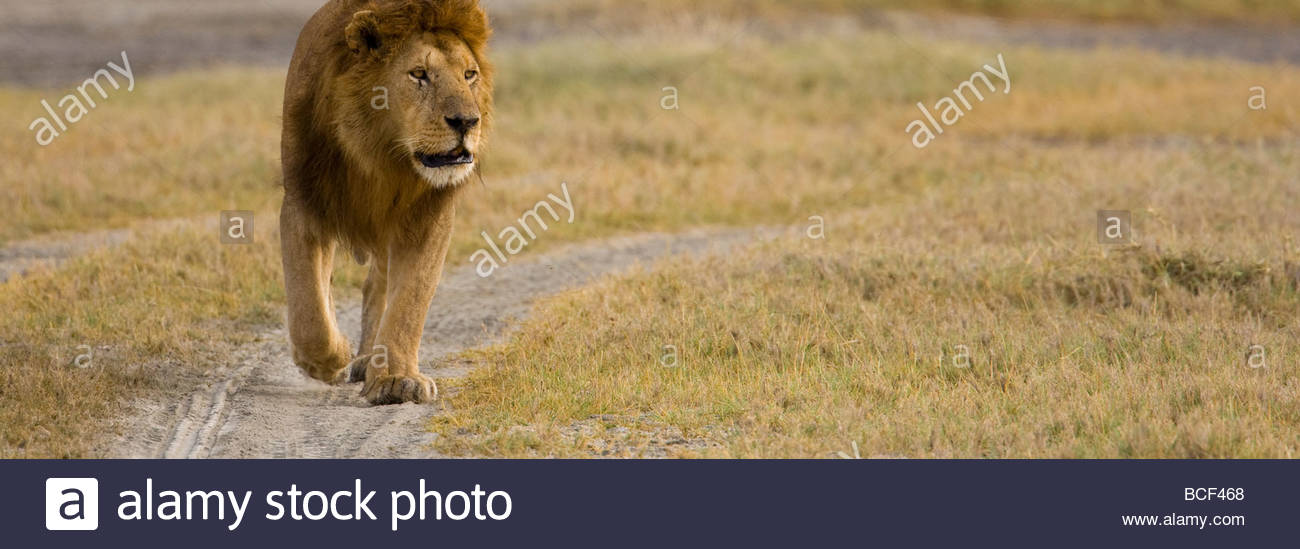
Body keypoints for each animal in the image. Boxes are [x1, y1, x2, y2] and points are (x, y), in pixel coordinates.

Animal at [279, 0, 493, 405]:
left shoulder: (428, 215)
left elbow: (410, 300)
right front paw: (329, 359)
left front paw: (396, 379)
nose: (467, 121)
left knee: (378, 285)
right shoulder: (304, 203)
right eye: (419, 74)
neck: (383, 155)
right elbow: (309, 307)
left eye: (469, 74)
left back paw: (370, 360)